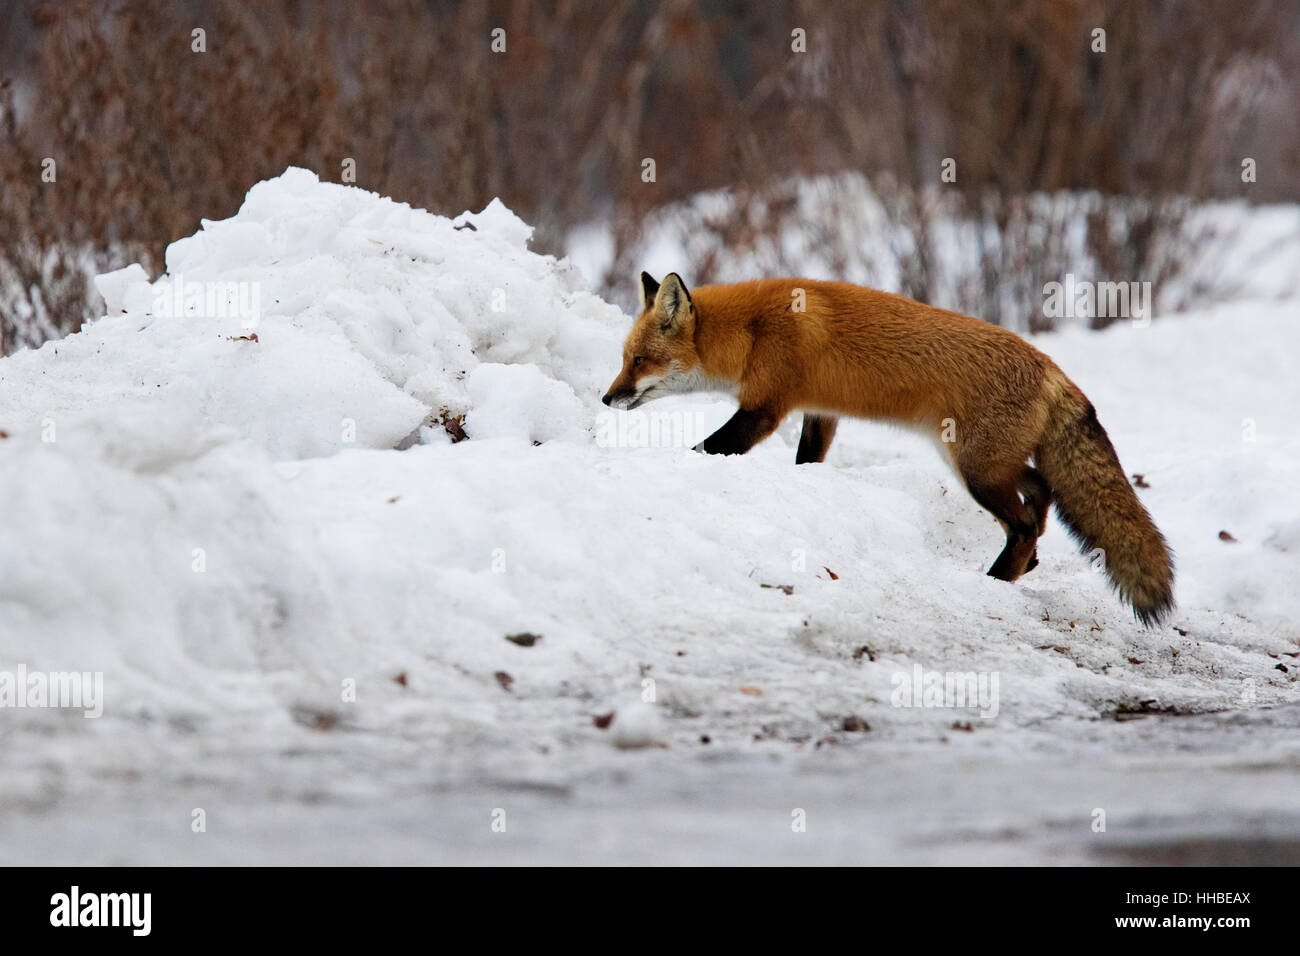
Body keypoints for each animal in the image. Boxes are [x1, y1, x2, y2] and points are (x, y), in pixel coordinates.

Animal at [602, 272, 1174, 626]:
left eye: (639, 360)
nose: (607, 398)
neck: (752, 331)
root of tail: (1052, 368)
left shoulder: (764, 409)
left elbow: (707, 448)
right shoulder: (820, 412)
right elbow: (808, 461)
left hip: (976, 471)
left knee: (1025, 522)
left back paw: (998, 579)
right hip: (987, 465)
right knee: (1041, 491)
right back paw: (1025, 565)